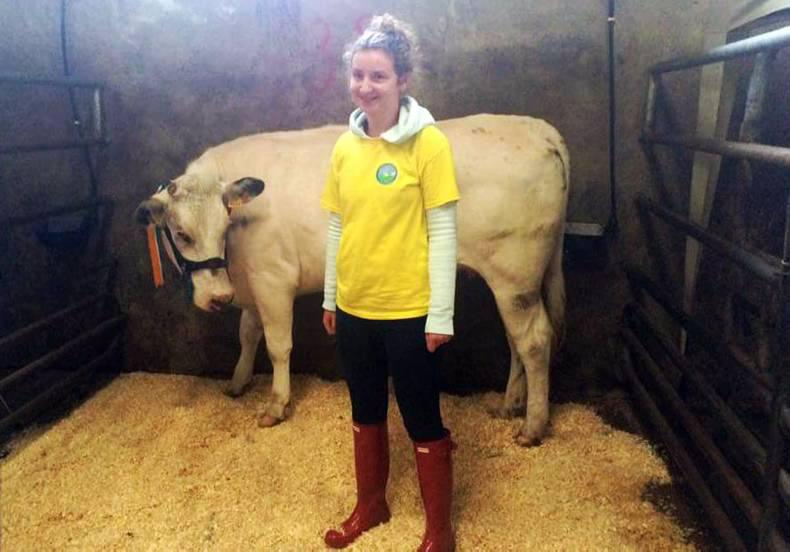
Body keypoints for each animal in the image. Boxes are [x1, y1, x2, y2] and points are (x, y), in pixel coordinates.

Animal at [135, 114, 569, 446]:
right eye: (181, 233)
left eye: (224, 225)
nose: (218, 297)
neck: (237, 267)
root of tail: (537, 128)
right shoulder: (253, 283)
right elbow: (248, 334)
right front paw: (237, 382)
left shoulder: (273, 279)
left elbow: (277, 345)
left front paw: (276, 404)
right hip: (517, 282)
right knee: (516, 340)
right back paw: (509, 405)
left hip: (514, 275)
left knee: (534, 340)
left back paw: (532, 426)